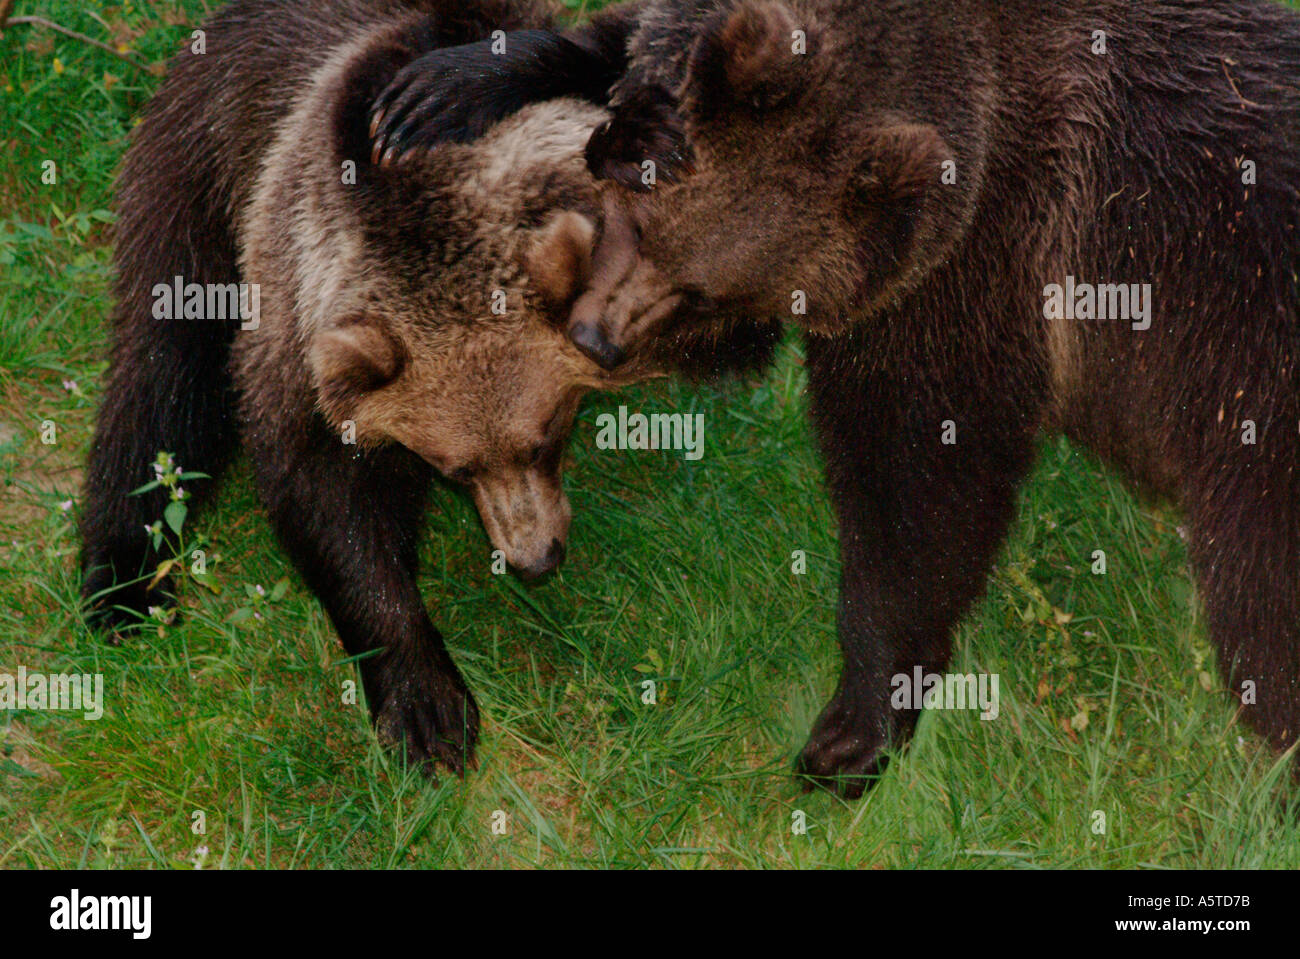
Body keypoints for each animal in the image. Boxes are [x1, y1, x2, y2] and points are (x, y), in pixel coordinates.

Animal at [81, 0, 780, 776]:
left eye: (546, 438)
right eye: (455, 467)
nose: (536, 558)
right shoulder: (301, 310)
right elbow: (323, 494)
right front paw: (427, 708)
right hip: (199, 165)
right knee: (163, 370)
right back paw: (123, 584)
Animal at [370, 0, 1300, 795]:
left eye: (702, 283)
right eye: (622, 199)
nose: (596, 336)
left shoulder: (977, 261)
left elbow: (916, 489)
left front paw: (852, 729)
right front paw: (441, 87)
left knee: (1258, 596)